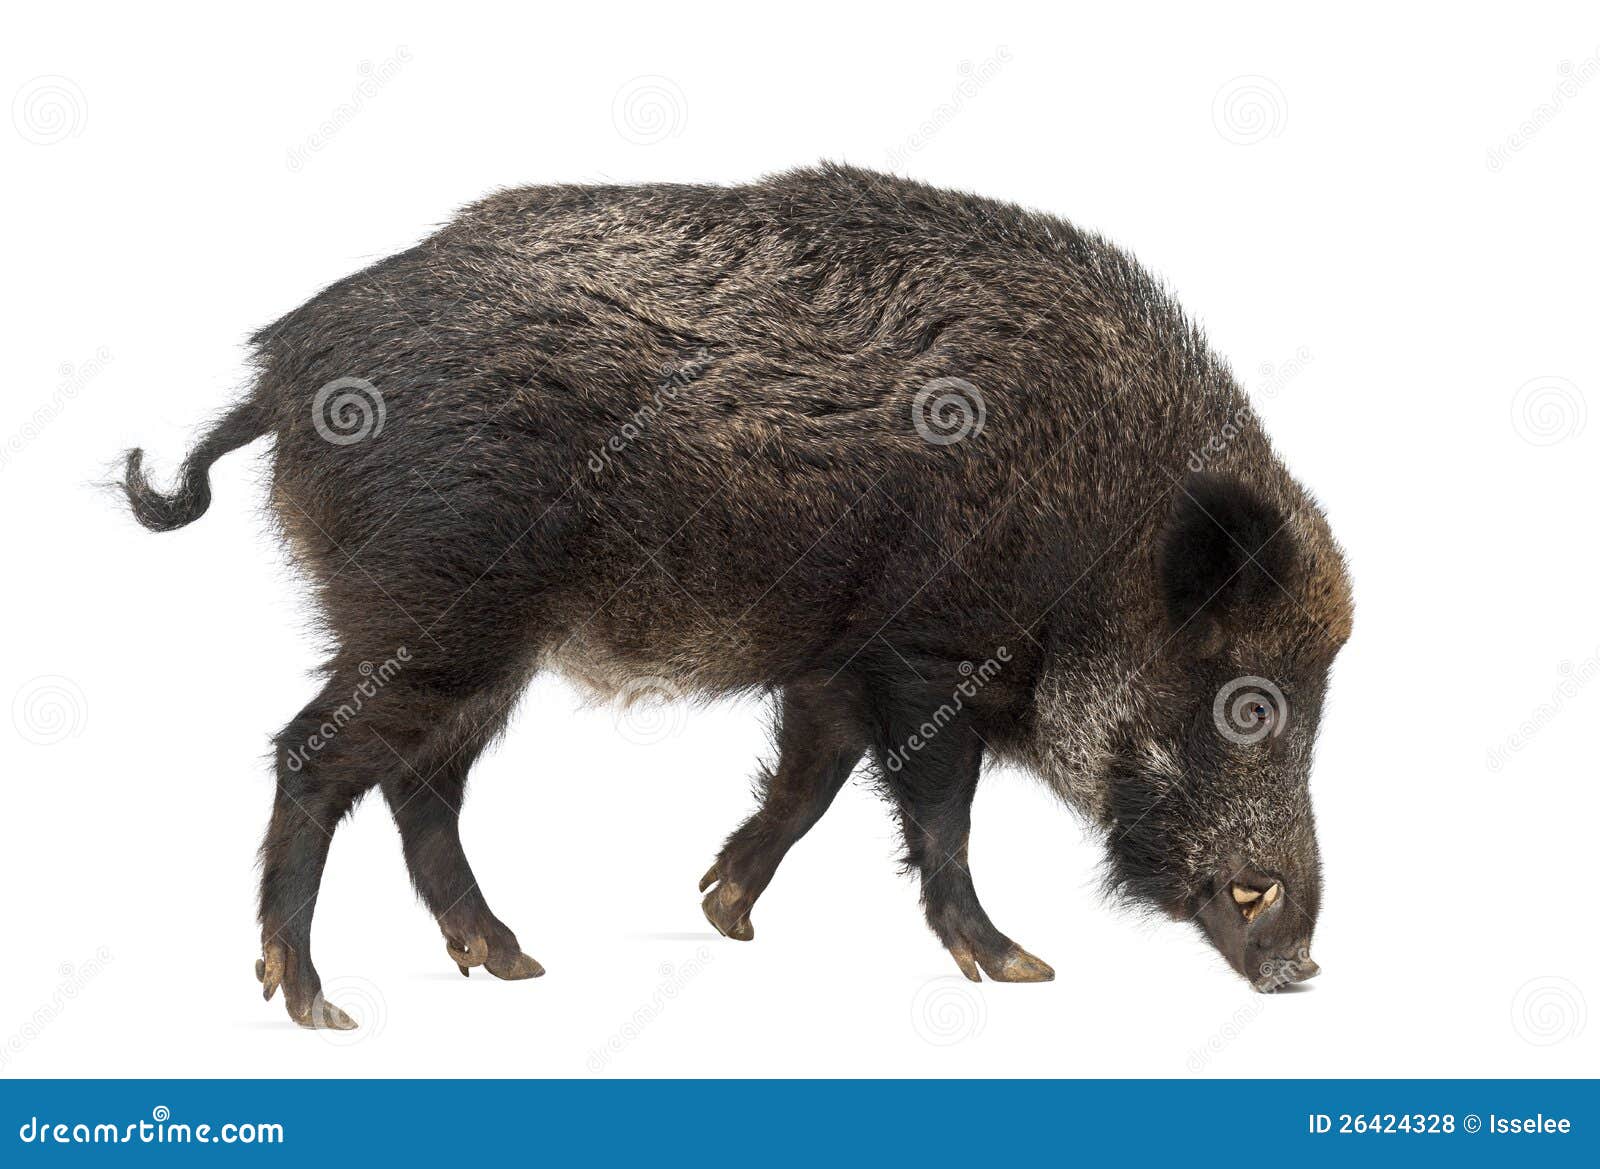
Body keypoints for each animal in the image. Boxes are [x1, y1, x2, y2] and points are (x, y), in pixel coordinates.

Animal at [120, 164, 1352, 1028]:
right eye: (1249, 698)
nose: (1298, 962)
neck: (1103, 529)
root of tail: (280, 377)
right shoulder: (927, 650)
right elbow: (937, 809)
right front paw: (1021, 967)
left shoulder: (835, 666)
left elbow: (810, 784)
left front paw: (724, 911)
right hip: (434, 610)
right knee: (317, 755)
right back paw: (317, 1002)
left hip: (478, 642)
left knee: (422, 784)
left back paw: (512, 960)